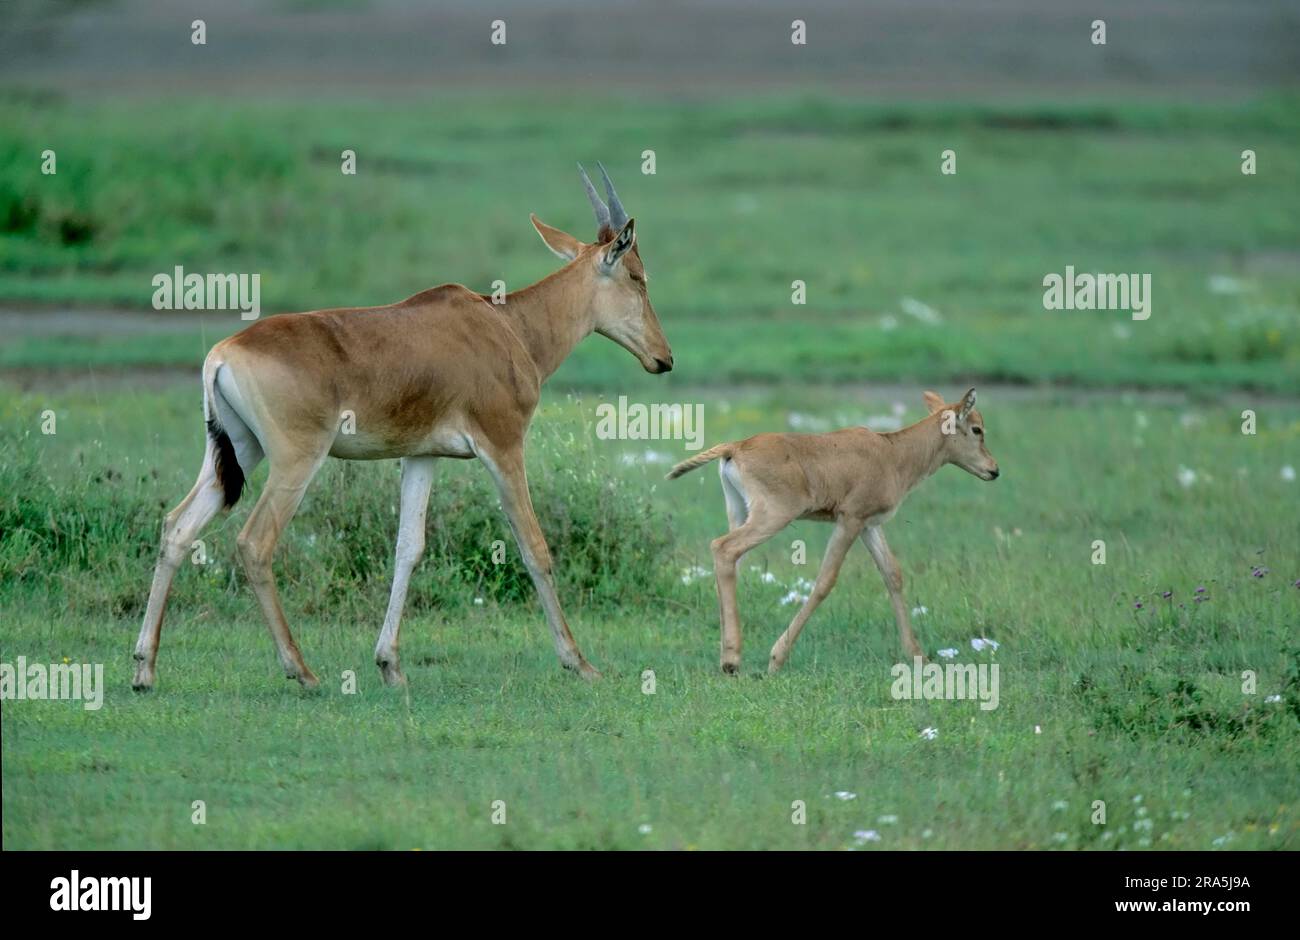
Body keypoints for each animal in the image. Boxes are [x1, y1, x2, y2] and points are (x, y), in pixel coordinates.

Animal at [132, 164, 672, 691]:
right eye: (638, 276)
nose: (664, 359)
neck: (504, 326)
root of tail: (224, 353)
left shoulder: (422, 455)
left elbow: (408, 548)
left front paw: (390, 664)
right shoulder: (502, 447)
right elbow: (534, 547)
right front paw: (580, 663)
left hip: (237, 452)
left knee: (177, 528)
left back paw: (144, 669)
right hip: (294, 460)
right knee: (254, 542)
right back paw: (301, 670)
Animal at [667, 389, 999, 675]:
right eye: (977, 429)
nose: (994, 470)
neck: (890, 452)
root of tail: (735, 447)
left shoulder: (869, 525)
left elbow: (892, 575)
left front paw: (919, 657)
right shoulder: (849, 520)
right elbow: (826, 580)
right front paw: (776, 659)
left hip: (739, 512)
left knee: (728, 561)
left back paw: (727, 656)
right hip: (772, 516)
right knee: (723, 548)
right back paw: (732, 661)